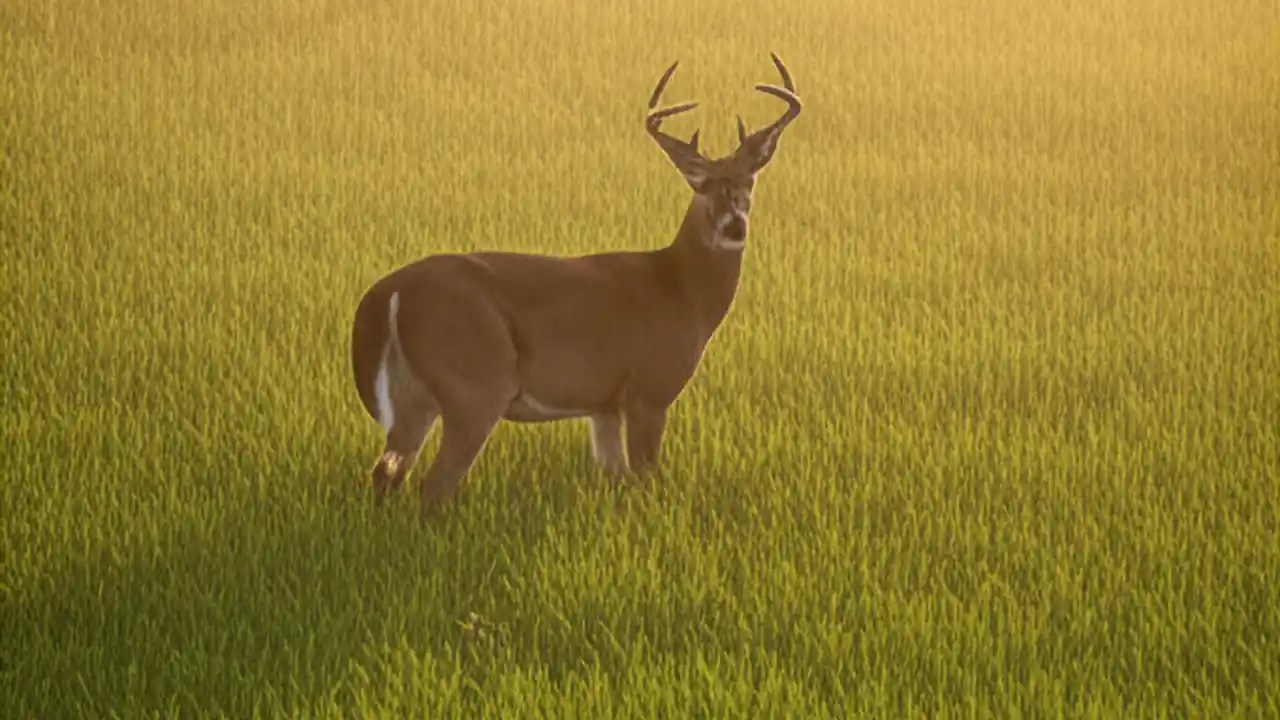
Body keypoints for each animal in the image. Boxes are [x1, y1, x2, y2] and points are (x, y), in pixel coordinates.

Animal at [350, 54, 802, 514]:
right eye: (702, 184)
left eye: (749, 182)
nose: (734, 225)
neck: (679, 290)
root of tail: (390, 290)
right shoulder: (649, 389)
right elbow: (645, 478)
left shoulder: (604, 404)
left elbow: (615, 476)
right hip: (474, 383)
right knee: (434, 486)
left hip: (413, 393)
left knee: (386, 474)